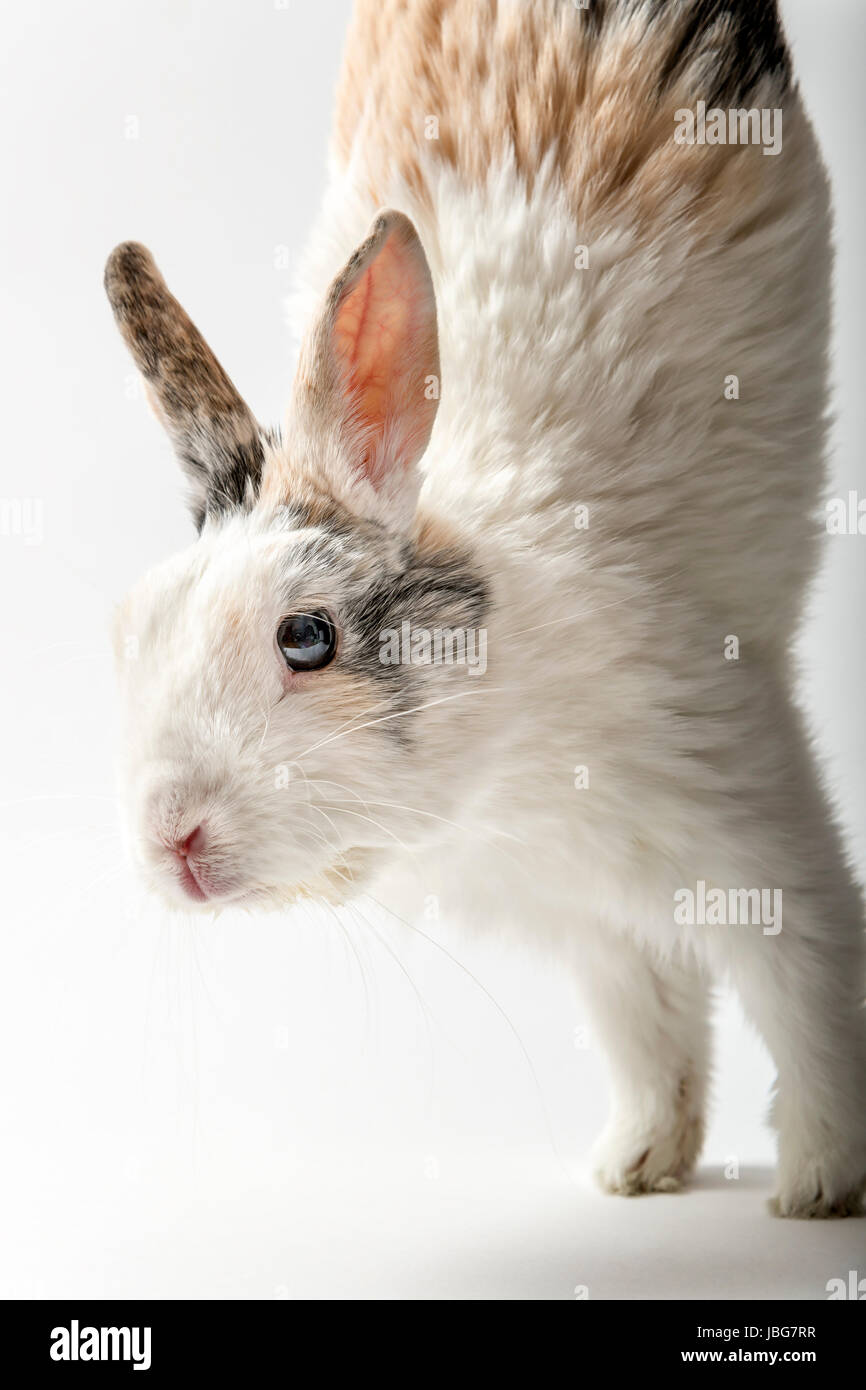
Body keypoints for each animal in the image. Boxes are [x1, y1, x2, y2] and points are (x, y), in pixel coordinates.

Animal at [105, 0, 866, 1219]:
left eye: (305, 637)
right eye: (133, 629)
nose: (165, 841)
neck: (498, 773)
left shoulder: (746, 811)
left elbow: (812, 992)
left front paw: (821, 1186)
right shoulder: (594, 923)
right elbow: (647, 1024)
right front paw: (636, 1164)